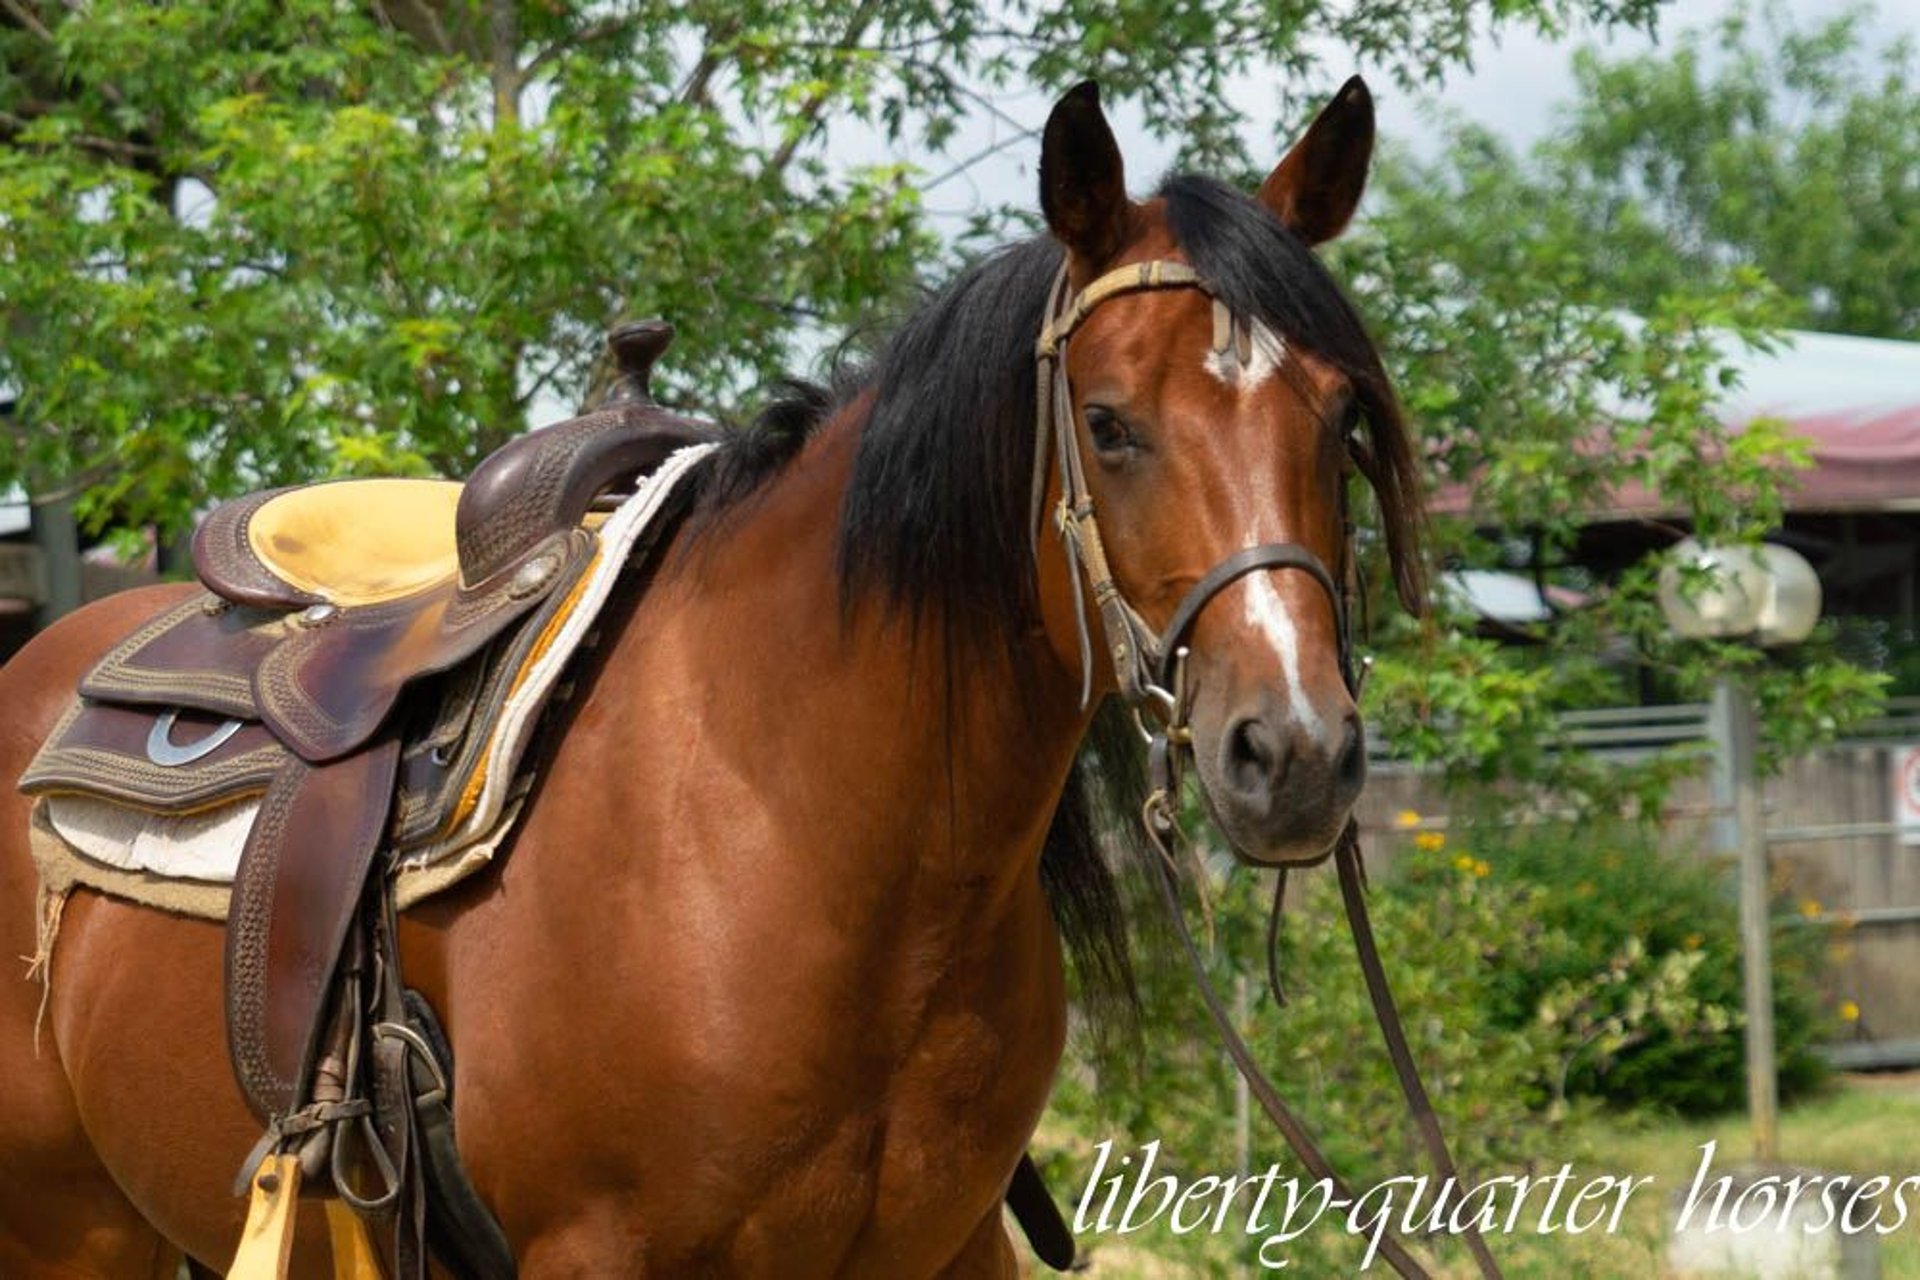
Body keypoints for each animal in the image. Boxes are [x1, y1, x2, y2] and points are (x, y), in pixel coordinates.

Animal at [0, 75, 1423, 1277]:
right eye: (1111, 423)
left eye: (1343, 416)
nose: (1294, 750)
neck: (800, 832)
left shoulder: (951, 1243)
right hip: (70, 1230)